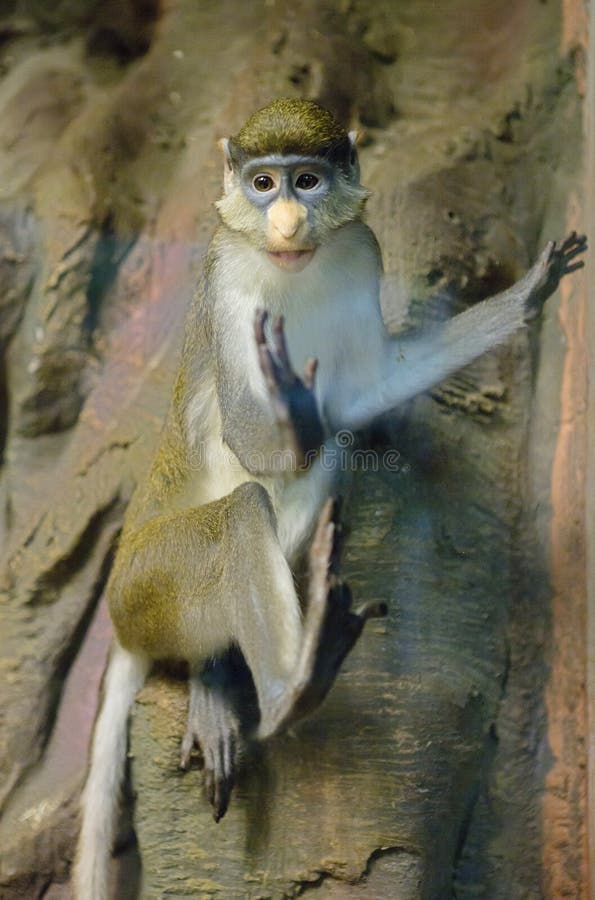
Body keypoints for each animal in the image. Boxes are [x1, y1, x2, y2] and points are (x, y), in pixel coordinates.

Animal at [73, 97, 586, 899]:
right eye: (262, 183)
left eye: (306, 180)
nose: (285, 216)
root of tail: (122, 615)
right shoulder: (226, 280)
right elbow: (252, 441)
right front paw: (290, 405)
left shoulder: (363, 252)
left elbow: (371, 382)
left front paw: (523, 299)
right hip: (147, 586)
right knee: (243, 510)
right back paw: (287, 687)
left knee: (328, 458)